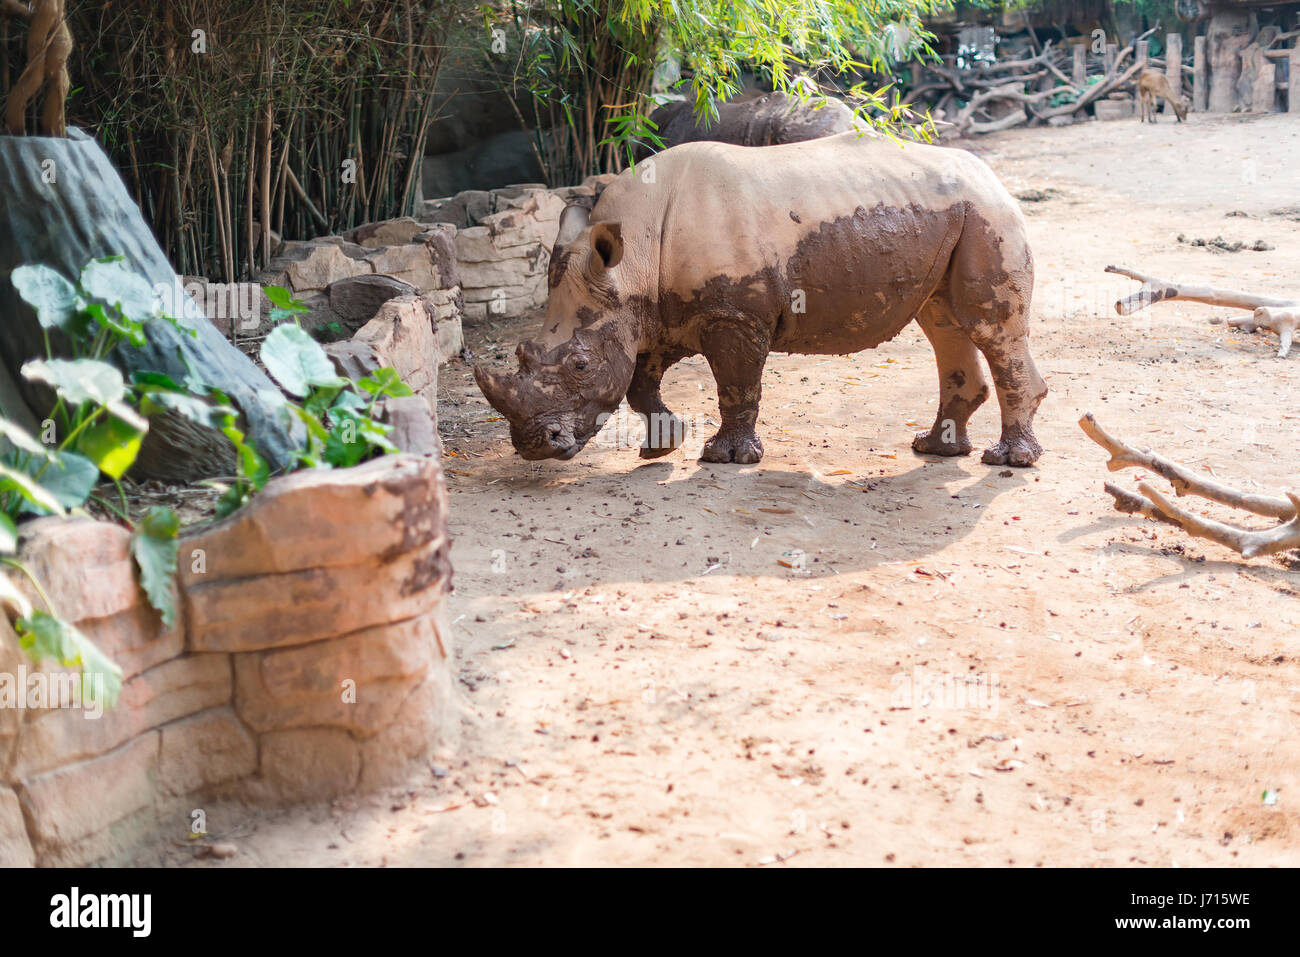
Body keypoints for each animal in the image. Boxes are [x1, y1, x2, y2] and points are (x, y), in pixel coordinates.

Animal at [474, 130, 1048, 467]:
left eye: (579, 365)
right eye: (522, 354)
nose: (532, 447)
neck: (633, 257)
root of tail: (991, 172)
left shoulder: (733, 313)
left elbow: (735, 383)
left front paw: (725, 458)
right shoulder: (658, 312)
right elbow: (639, 382)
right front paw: (660, 445)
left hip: (987, 213)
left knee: (988, 326)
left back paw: (1007, 461)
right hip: (955, 214)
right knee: (943, 321)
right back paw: (936, 450)